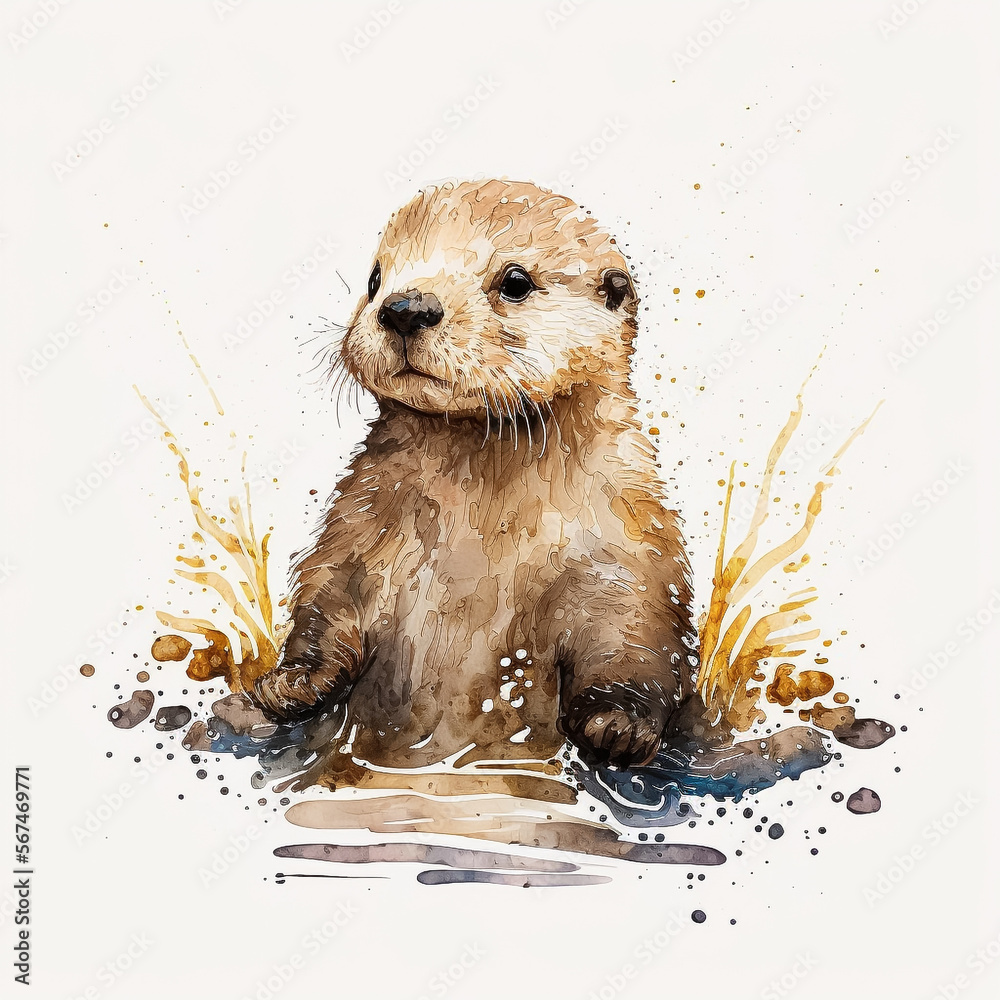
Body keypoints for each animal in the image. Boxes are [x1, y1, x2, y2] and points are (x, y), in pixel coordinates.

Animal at [246, 178, 699, 770]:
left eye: (515, 281)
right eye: (374, 279)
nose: (406, 307)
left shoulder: (626, 552)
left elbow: (635, 637)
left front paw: (619, 725)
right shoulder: (356, 534)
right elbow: (327, 601)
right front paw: (293, 684)